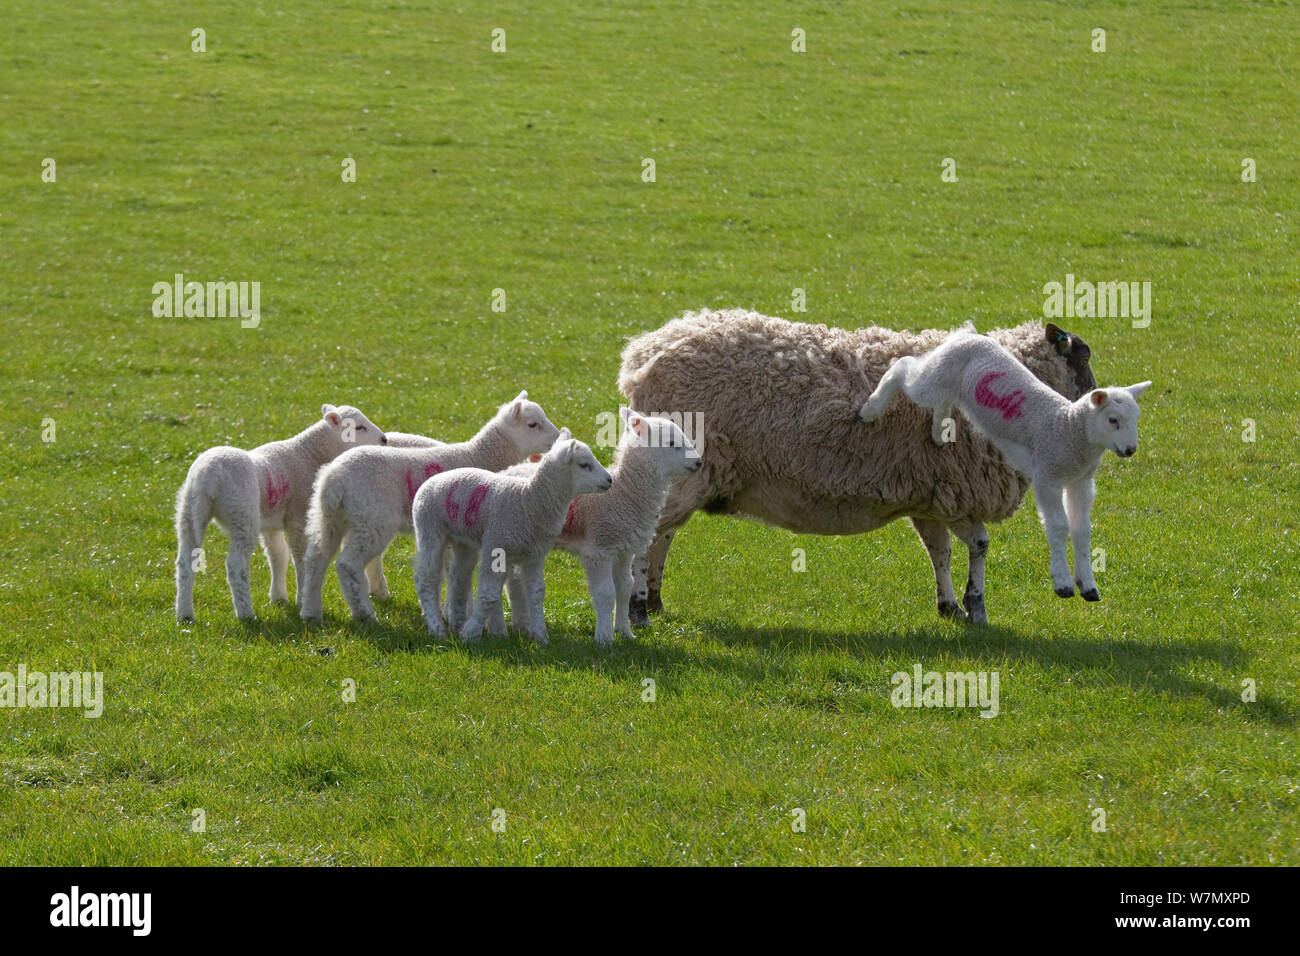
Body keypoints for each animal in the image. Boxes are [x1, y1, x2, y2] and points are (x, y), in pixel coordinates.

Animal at [174, 404, 387, 621]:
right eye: (358, 427)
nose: (384, 440)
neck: (309, 454)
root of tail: (208, 475)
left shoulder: (271, 523)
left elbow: (278, 555)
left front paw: (278, 598)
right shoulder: (298, 517)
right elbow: (299, 558)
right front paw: (301, 599)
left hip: (188, 510)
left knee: (185, 562)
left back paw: (184, 614)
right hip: (242, 512)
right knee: (236, 564)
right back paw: (246, 614)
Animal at [298, 392, 560, 622]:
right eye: (533, 424)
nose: (558, 438)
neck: (480, 456)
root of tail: (333, 478)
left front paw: (452, 611)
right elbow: (457, 573)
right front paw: (457, 612)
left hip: (328, 517)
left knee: (316, 558)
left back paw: (310, 612)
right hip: (372, 520)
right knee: (347, 565)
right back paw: (365, 614)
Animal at [412, 429, 613, 643]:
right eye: (584, 465)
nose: (609, 480)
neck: (528, 500)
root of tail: (432, 480)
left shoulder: (536, 555)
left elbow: (537, 593)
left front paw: (541, 636)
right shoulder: (496, 544)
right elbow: (489, 594)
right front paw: (471, 633)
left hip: (462, 540)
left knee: (459, 577)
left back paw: (457, 626)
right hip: (429, 527)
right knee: (426, 578)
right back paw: (437, 628)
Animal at [617, 308, 1099, 625]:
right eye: (1085, 357)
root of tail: (641, 356)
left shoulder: (932, 495)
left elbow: (939, 551)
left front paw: (949, 606)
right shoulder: (958, 492)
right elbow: (978, 546)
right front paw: (975, 606)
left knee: (661, 536)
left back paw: (654, 600)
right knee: (648, 537)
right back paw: (638, 609)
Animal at [858, 324, 1150, 600]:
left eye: (1136, 418)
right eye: (1113, 420)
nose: (1130, 450)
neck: (1069, 428)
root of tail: (965, 335)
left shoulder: (1081, 482)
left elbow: (1082, 530)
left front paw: (1088, 585)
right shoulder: (1048, 476)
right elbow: (1059, 527)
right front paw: (1063, 583)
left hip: (946, 381)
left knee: (941, 400)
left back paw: (939, 433)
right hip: (935, 375)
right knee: (904, 366)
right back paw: (870, 408)